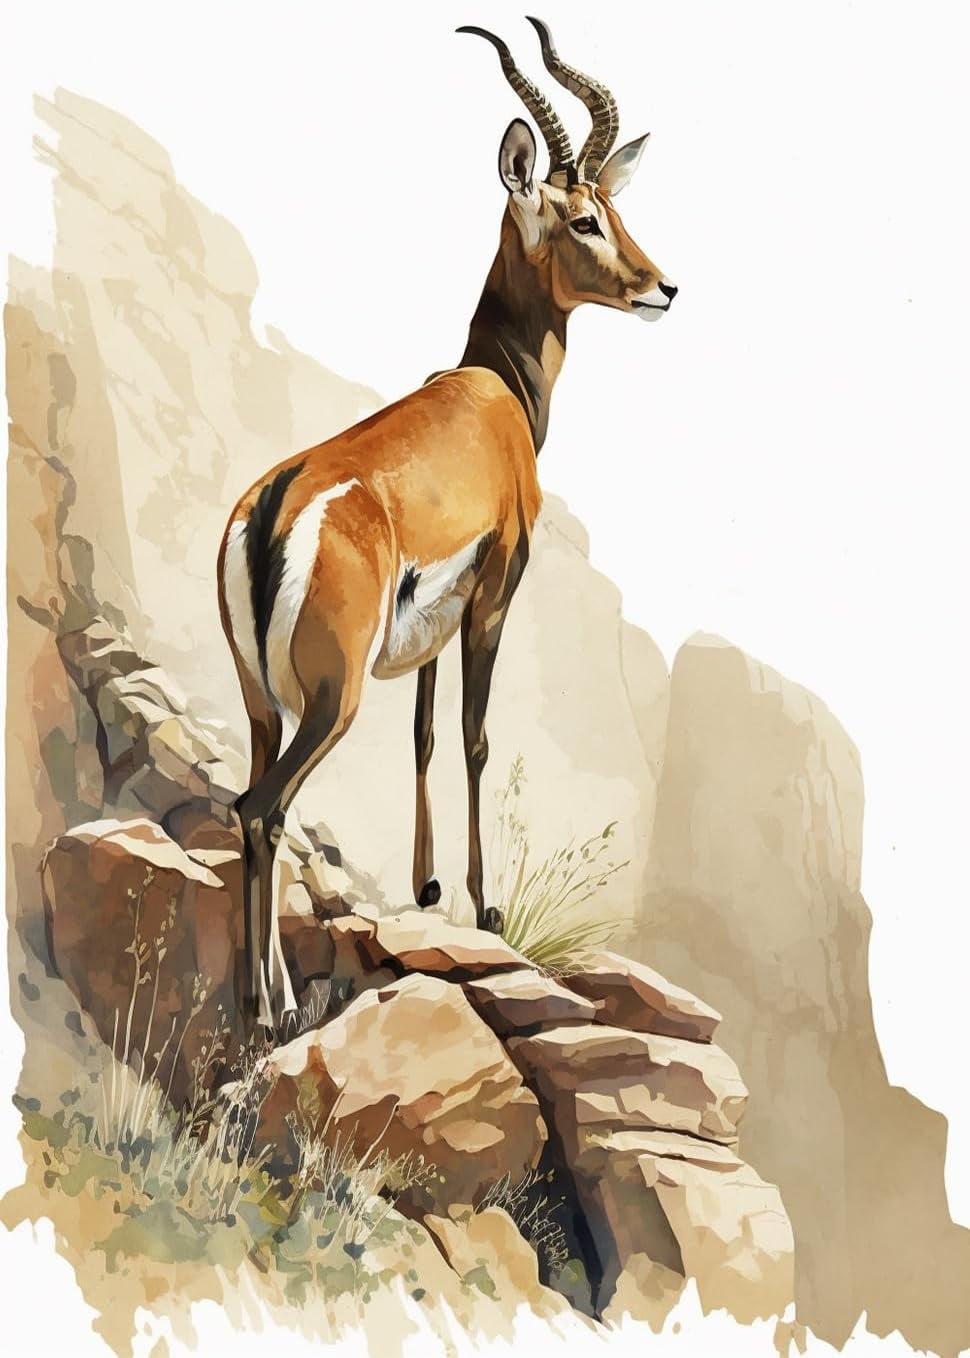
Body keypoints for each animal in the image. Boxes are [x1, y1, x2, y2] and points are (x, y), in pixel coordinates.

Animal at [217, 17, 678, 1031]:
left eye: (611, 205)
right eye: (580, 216)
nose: (665, 288)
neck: (494, 390)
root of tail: (274, 506)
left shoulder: (430, 629)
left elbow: (425, 734)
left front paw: (427, 889)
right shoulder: (497, 594)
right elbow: (474, 737)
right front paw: (485, 903)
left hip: (264, 701)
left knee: (250, 802)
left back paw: (262, 1000)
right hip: (331, 702)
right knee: (262, 809)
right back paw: (272, 1010)